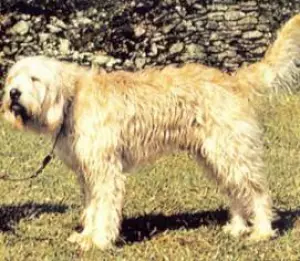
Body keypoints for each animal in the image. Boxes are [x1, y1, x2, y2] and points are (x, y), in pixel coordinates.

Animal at [1, 13, 300, 250]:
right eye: (14, 77)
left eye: (34, 79)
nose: (13, 93)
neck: (72, 98)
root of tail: (232, 80)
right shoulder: (88, 172)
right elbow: (91, 207)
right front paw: (86, 236)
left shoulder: (106, 170)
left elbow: (104, 207)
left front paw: (100, 241)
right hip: (214, 155)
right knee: (235, 191)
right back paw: (237, 228)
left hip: (232, 151)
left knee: (257, 192)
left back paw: (262, 232)